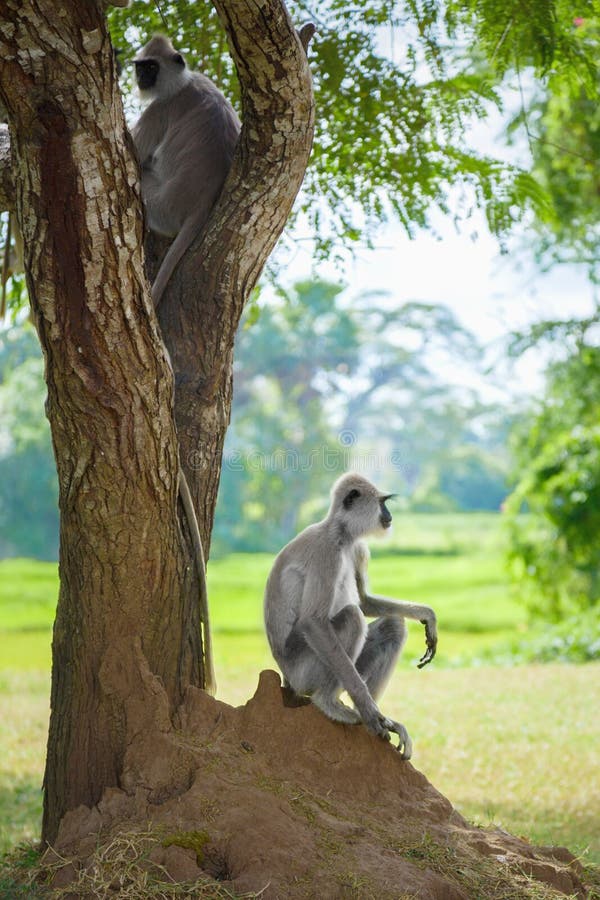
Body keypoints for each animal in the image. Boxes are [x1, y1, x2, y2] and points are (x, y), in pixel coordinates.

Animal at [131, 34, 240, 308]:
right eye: (140, 67)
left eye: (151, 67)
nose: (141, 77)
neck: (183, 83)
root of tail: (202, 202)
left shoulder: (161, 107)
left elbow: (135, 153)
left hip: (161, 206)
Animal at [264, 473, 438, 759]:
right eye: (382, 503)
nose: (388, 515)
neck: (341, 535)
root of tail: (286, 678)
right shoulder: (327, 552)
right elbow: (314, 620)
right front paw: (369, 713)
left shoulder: (358, 548)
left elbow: (365, 602)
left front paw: (426, 614)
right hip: (304, 670)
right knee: (352, 618)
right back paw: (332, 704)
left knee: (392, 625)